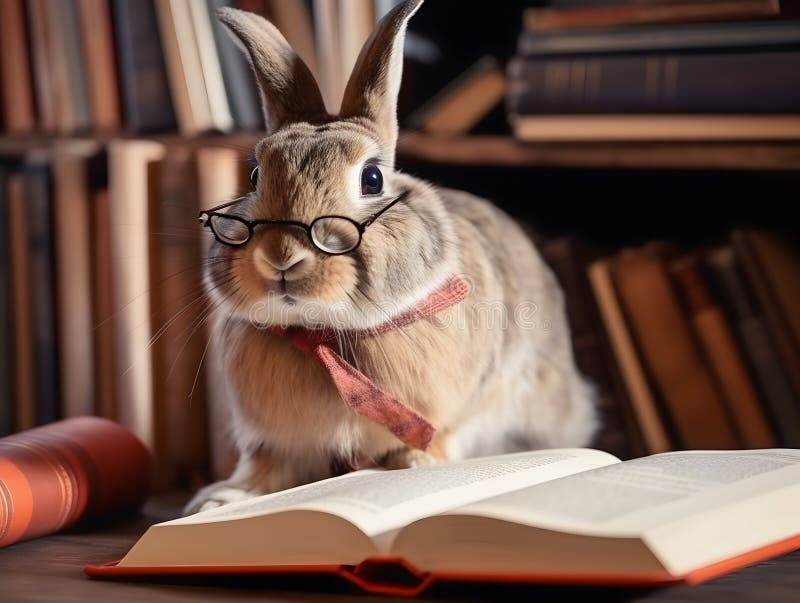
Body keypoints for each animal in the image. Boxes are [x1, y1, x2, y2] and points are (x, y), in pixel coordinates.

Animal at [185, 0, 597, 515]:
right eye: (256, 174)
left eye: (373, 178)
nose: (281, 257)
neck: (321, 333)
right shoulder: (274, 441)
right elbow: (264, 469)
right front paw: (219, 502)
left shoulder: (453, 409)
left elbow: (435, 439)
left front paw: (409, 469)